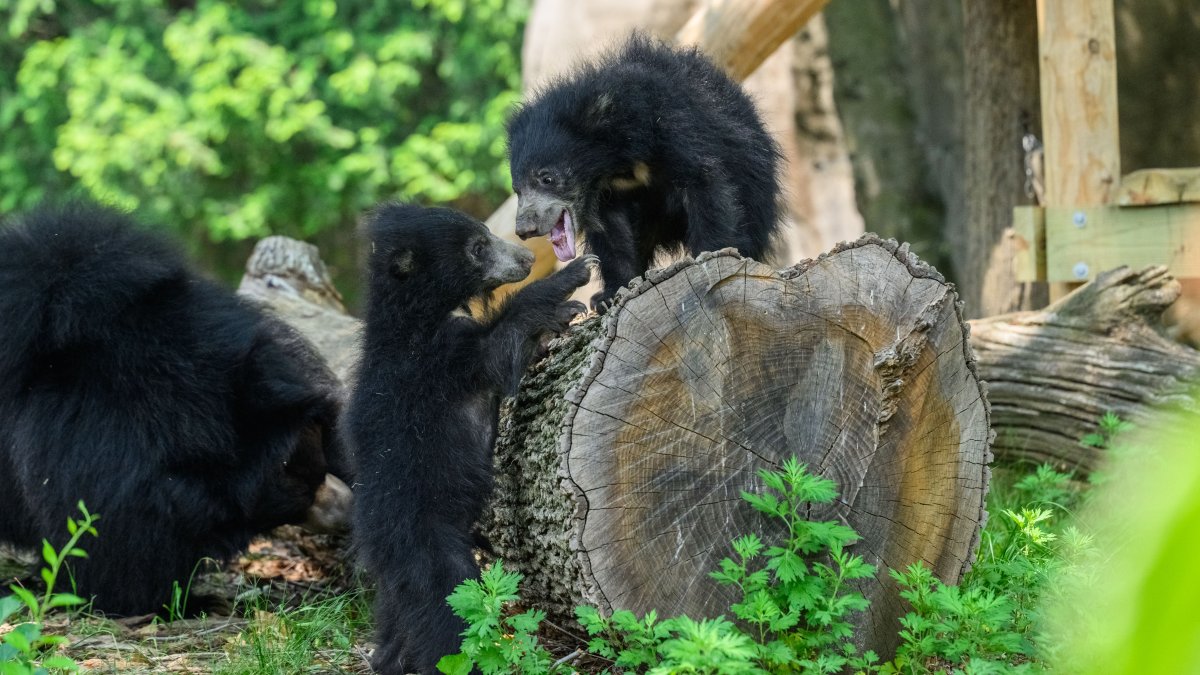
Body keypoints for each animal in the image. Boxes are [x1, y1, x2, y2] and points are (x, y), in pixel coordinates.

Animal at [0, 200, 353, 616]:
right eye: (295, 483)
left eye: (318, 448)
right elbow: (119, 544)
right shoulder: (100, 464)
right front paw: (178, 601)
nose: (347, 510)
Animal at [343, 203, 596, 675]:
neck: (418, 314)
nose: (528, 257)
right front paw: (571, 282)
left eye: (484, 234)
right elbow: (498, 350)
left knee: (399, 615)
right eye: (478, 247)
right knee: (447, 611)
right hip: (429, 542)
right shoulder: (441, 358)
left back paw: (387, 659)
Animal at [507, 32, 784, 310]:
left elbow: (704, 184)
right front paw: (611, 295)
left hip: (755, 181)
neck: (614, 162)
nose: (525, 229)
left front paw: (711, 256)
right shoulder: (607, 193)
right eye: (517, 189)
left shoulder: (672, 125)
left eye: (547, 178)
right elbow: (612, 233)